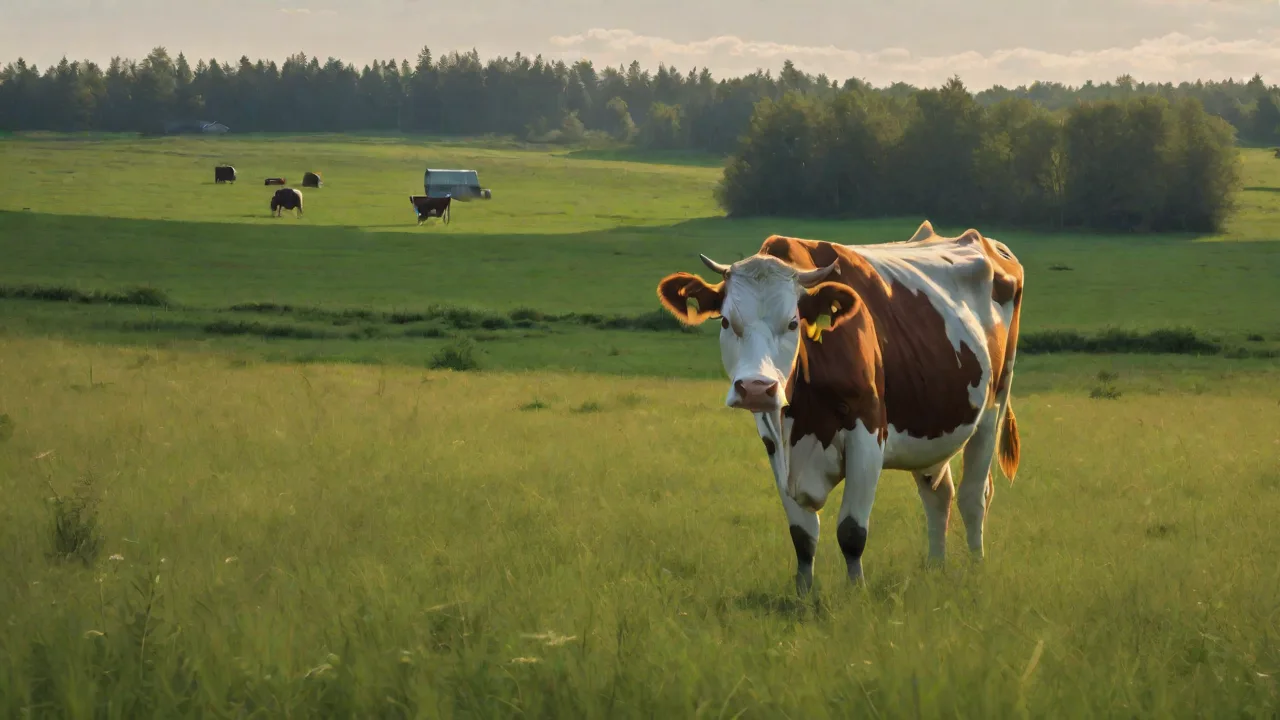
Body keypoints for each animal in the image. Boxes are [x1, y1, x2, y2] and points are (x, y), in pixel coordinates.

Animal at [655, 220, 1024, 596]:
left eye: (793, 323)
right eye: (727, 322)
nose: (757, 388)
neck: (802, 417)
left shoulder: (868, 435)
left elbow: (851, 531)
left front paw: (856, 593)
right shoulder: (774, 442)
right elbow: (802, 536)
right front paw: (804, 594)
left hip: (993, 407)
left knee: (974, 497)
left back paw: (976, 568)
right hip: (934, 422)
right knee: (938, 495)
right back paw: (936, 567)